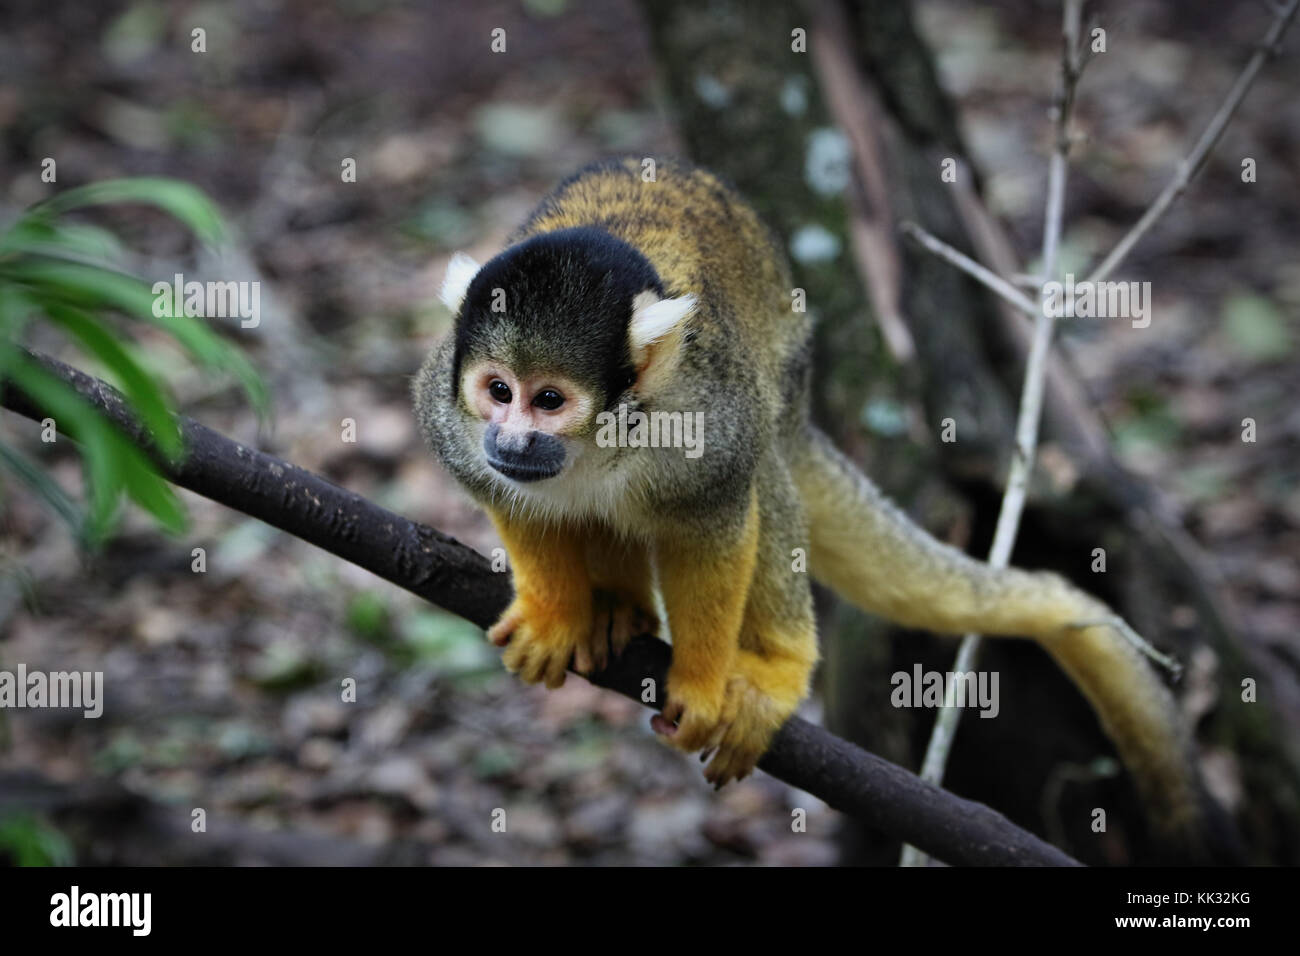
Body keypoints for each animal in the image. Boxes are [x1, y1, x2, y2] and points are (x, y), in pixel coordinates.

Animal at [413, 156, 1207, 844]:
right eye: (498, 391)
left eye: (548, 400)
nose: (511, 438)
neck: (600, 440)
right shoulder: (449, 414)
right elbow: (508, 497)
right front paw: (557, 613)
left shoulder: (706, 419)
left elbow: (715, 525)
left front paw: (701, 682)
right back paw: (613, 605)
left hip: (779, 384)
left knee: (764, 479)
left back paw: (776, 670)